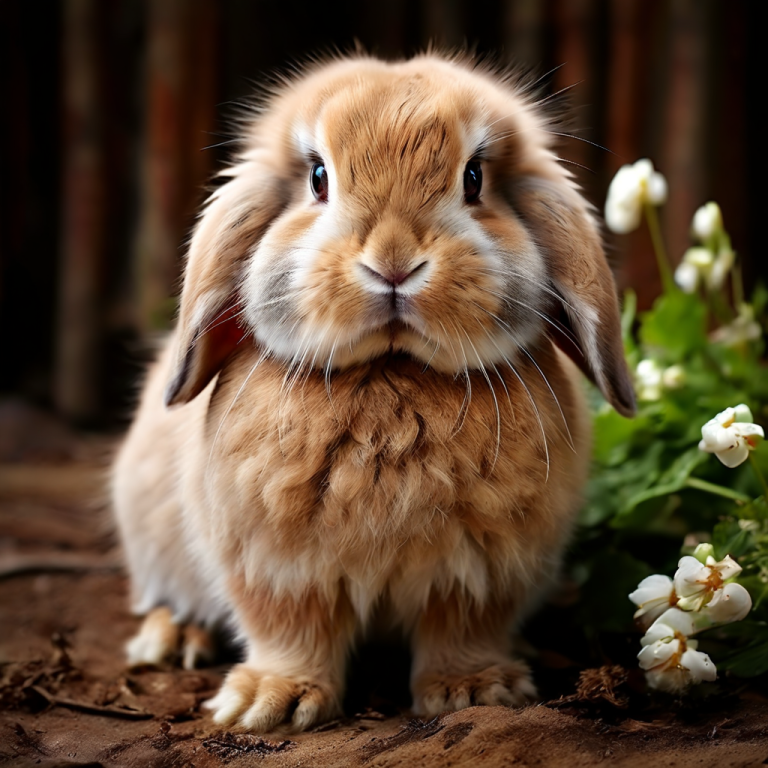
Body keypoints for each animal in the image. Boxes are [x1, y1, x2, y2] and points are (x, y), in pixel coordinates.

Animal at [112, 52, 635, 733]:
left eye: (474, 179)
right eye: (318, 178)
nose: (393, 261)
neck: (393, 374)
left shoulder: (483, 577)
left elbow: (461, 633)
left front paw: (476, 691)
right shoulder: (275, 570)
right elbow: (289, 632)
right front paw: (269, 703)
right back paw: (173, 640)